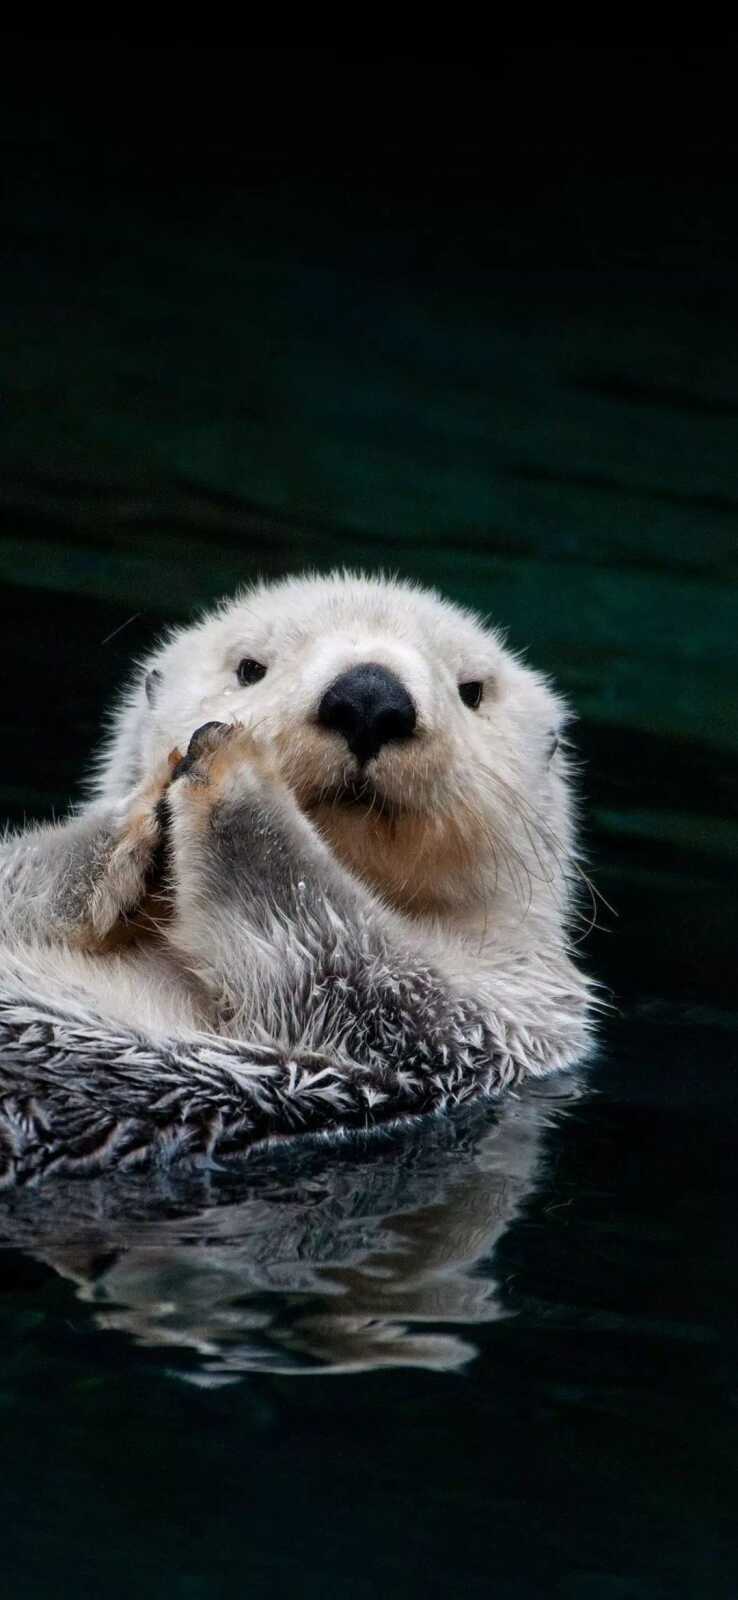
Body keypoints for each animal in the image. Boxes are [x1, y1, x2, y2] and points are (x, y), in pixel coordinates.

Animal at [0, 572, 593, 1183]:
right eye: (250, 667)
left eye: (472, 691)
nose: (369, 698)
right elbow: (21, 876)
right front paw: (139, 808)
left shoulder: (488, 1014)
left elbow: (346, 961)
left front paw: (234, 769)